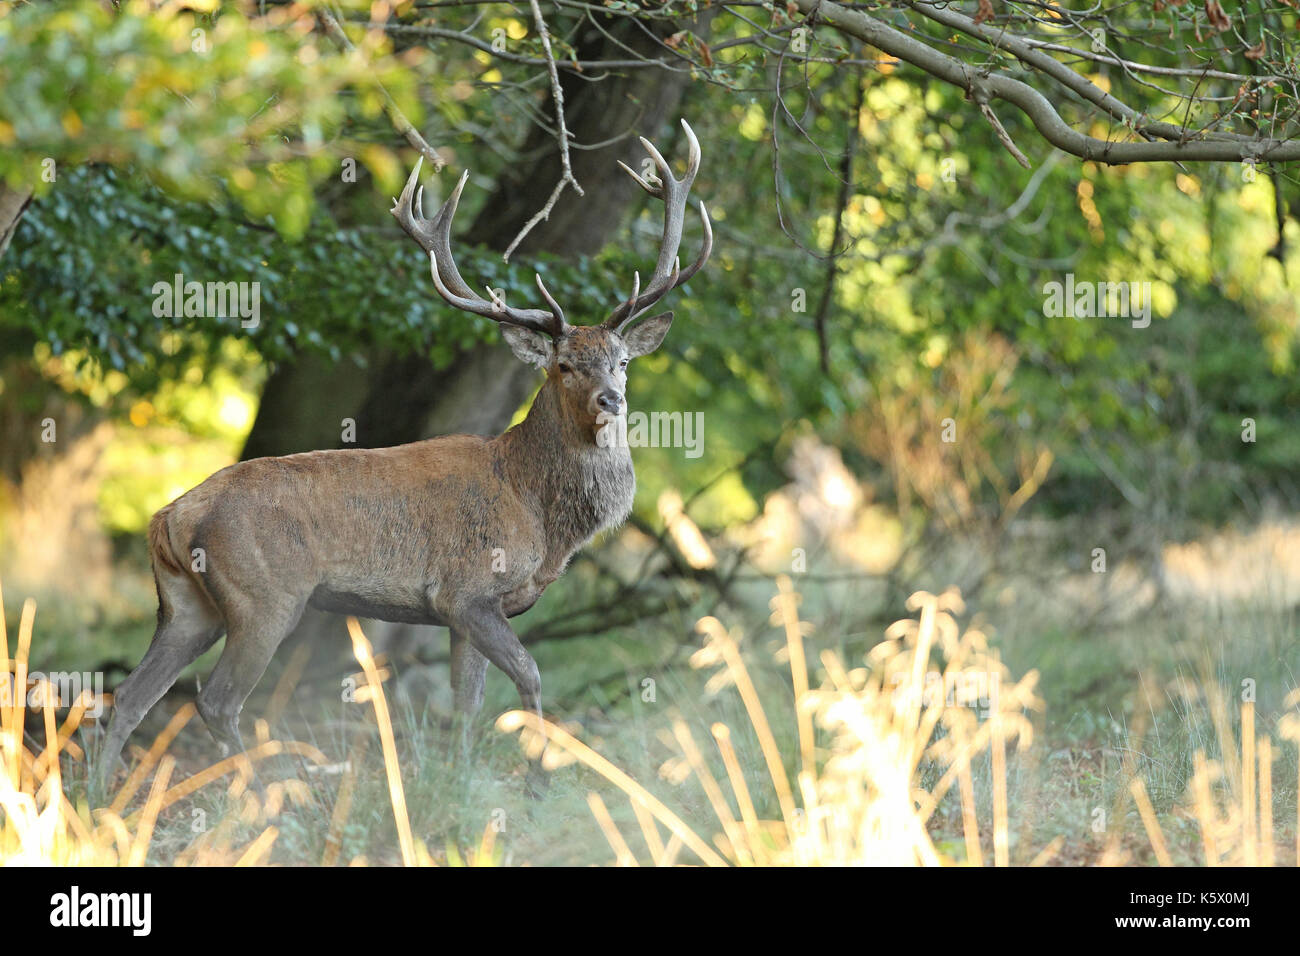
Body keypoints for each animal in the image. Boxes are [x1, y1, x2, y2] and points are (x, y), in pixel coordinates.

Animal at [94, 120, 712, 798]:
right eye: (564, 365)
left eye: (623, 359)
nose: (613, 399)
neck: (541, 516)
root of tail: (169, 517)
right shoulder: (467, 589)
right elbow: (529, 674)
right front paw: (538, 779)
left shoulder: (466, 612)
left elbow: (467, 700)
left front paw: (462, 783)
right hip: (264, 595)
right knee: (216, 700)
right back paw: (266, 793)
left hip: (186, 603)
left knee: (129, 695)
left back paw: (99, 797)